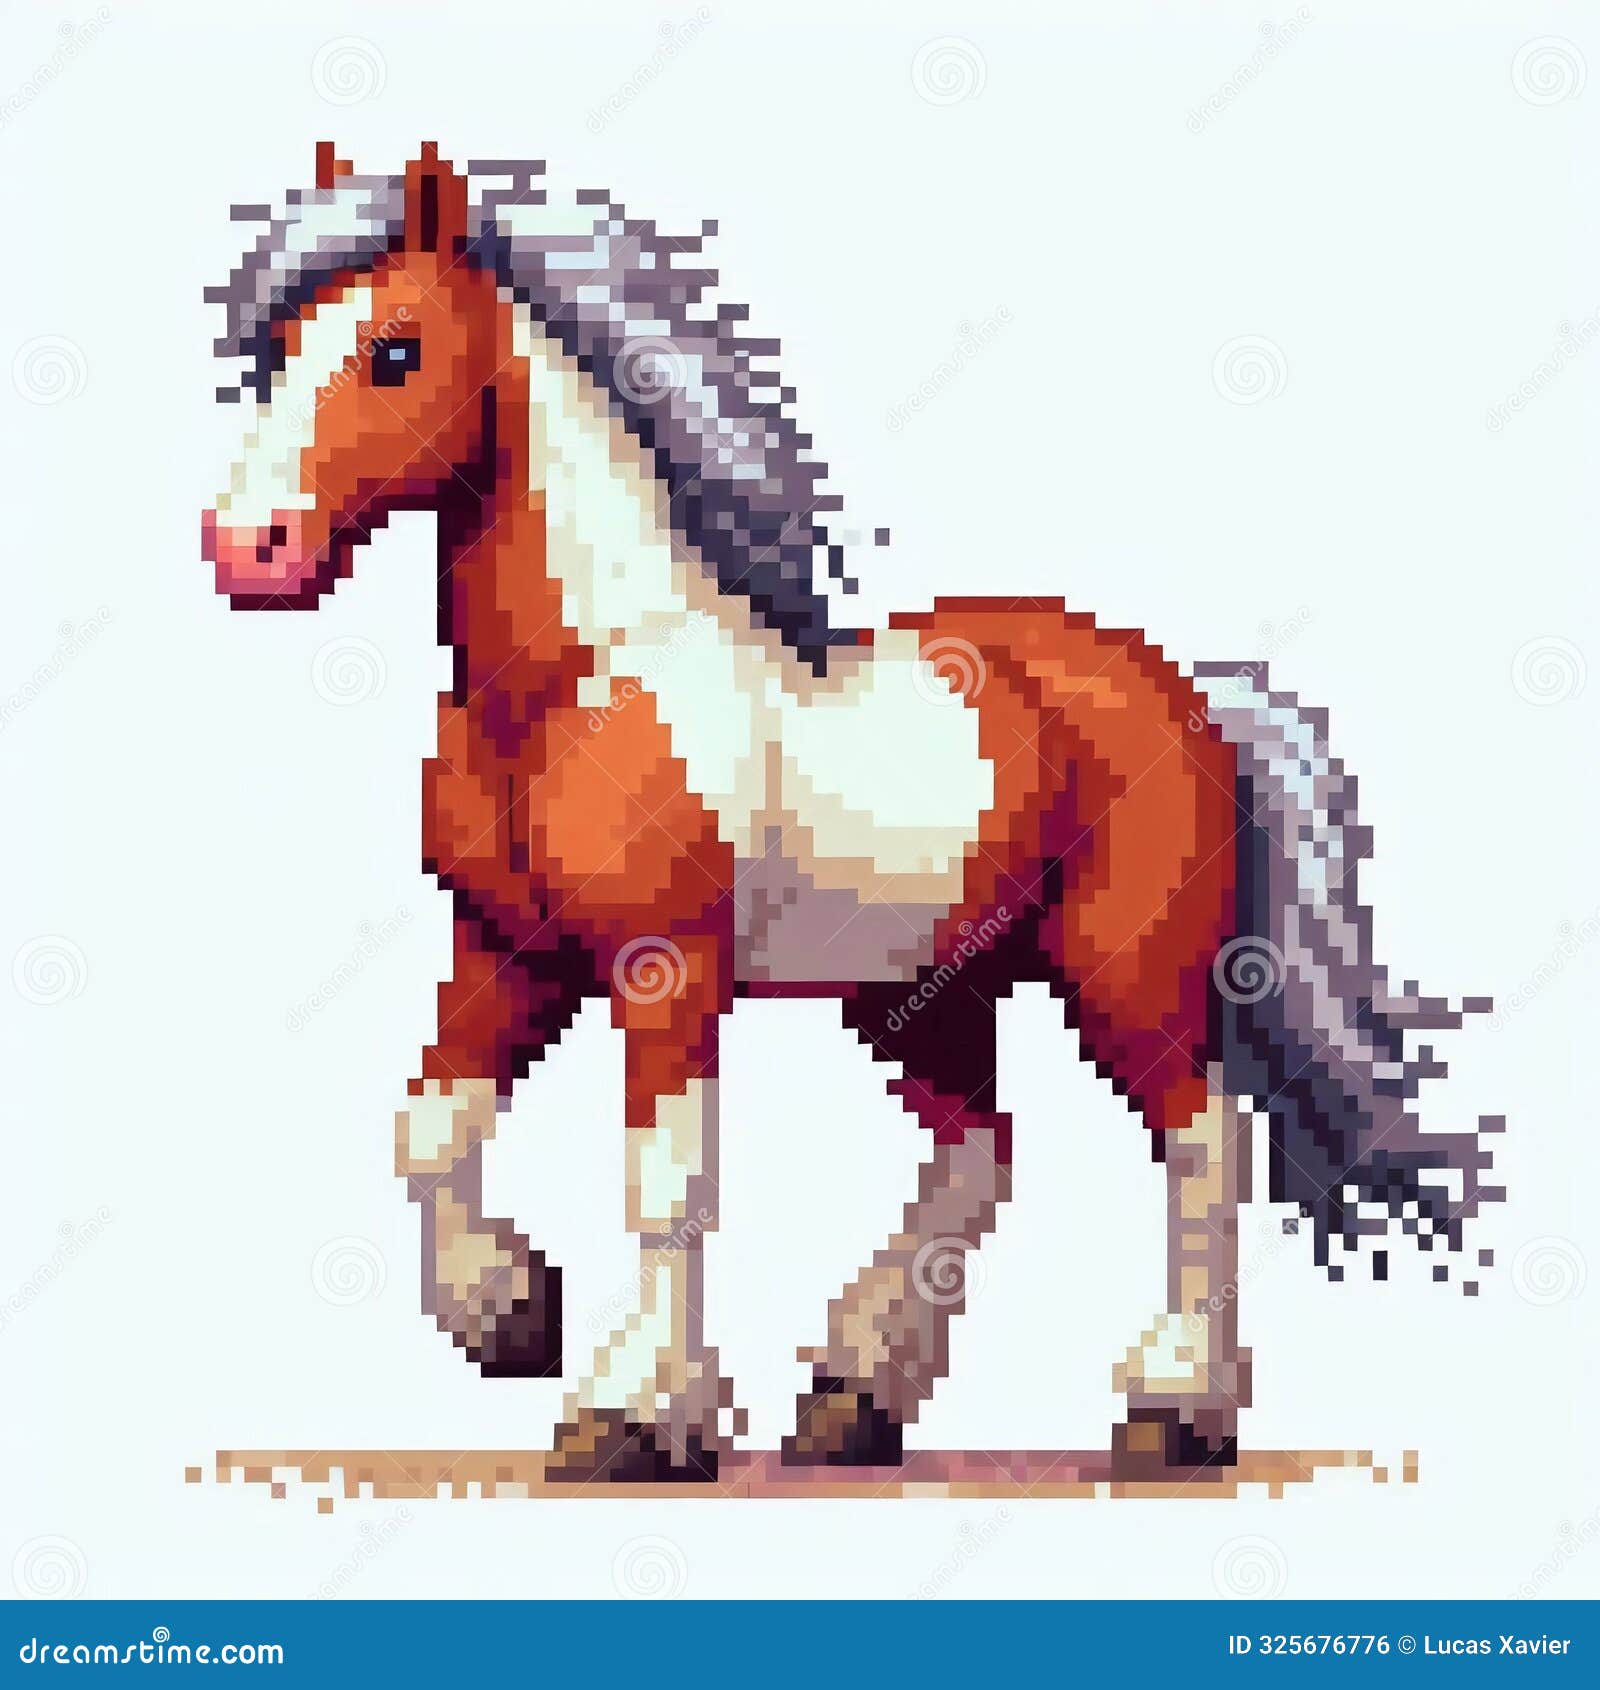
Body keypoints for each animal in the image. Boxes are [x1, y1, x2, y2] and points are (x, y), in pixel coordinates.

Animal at [201, 145, 1501, 1482]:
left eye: (394, 349)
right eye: (283, 344)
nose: (249, 549)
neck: (575, 685)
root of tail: (1188, 694)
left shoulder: (663, 971)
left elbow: (667, 1184)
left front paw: (632, 1411)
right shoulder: (504, 952)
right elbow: (427, 1130)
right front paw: (510, 1314)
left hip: (1123, 978)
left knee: (1200, 1143)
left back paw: (1173, 1407)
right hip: (923, 993)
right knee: (982, 1149)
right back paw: (852, 1395)